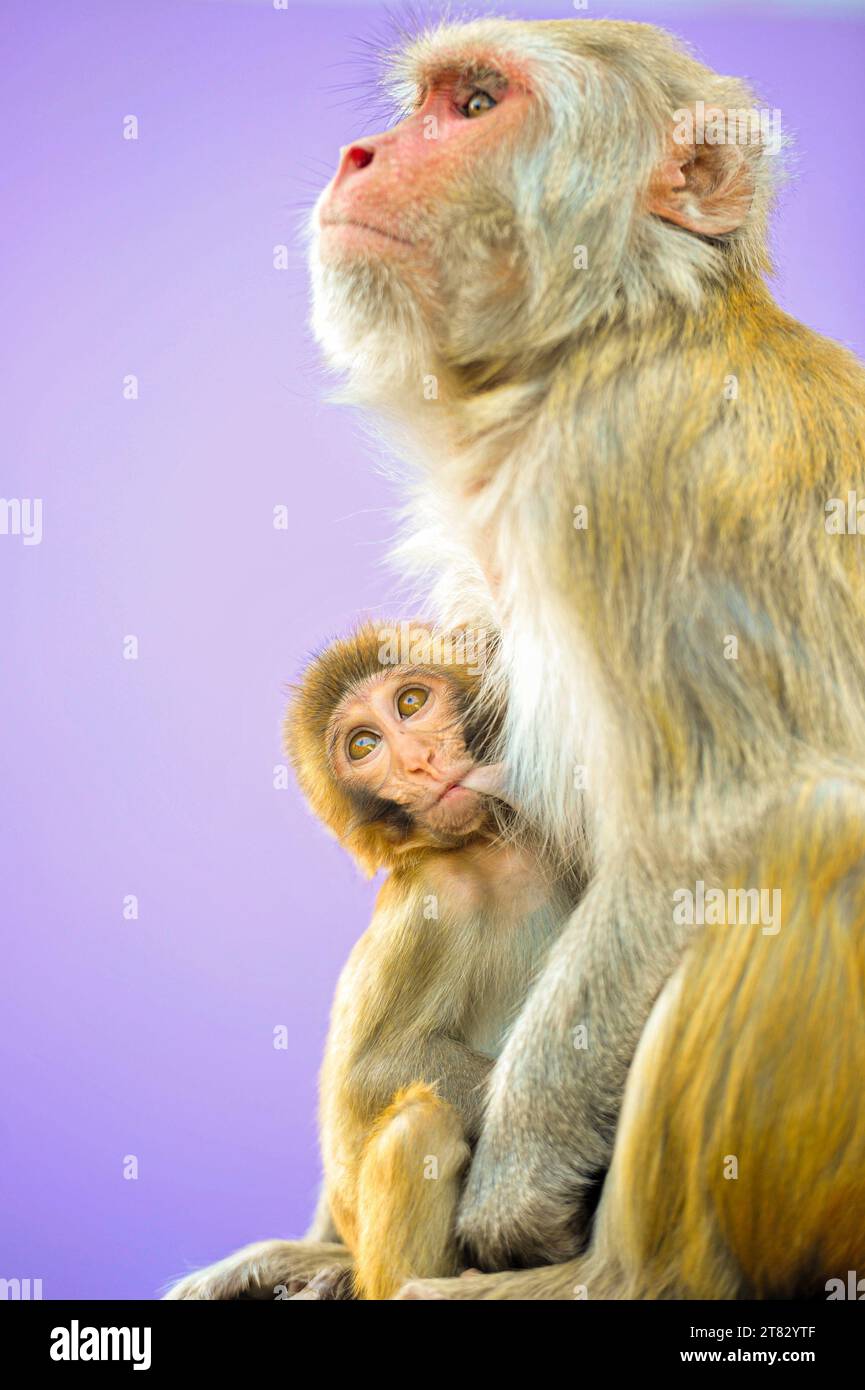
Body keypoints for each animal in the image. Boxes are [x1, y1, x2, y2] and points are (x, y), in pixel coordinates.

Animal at [164, 621, 582, 1300]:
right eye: (364, 745)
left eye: (410, 702)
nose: (419, 761)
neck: (495, 848)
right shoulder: (431, 904)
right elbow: (374, 1071)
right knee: (421, 1125)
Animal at [305, 16, 865, 1299]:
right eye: (419, 103)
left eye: (475, 103)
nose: (361, 154)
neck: (618, 333)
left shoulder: (622, 470)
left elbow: (714, 824)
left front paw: (515, 1175)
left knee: (813, 832)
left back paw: (625, 1274)